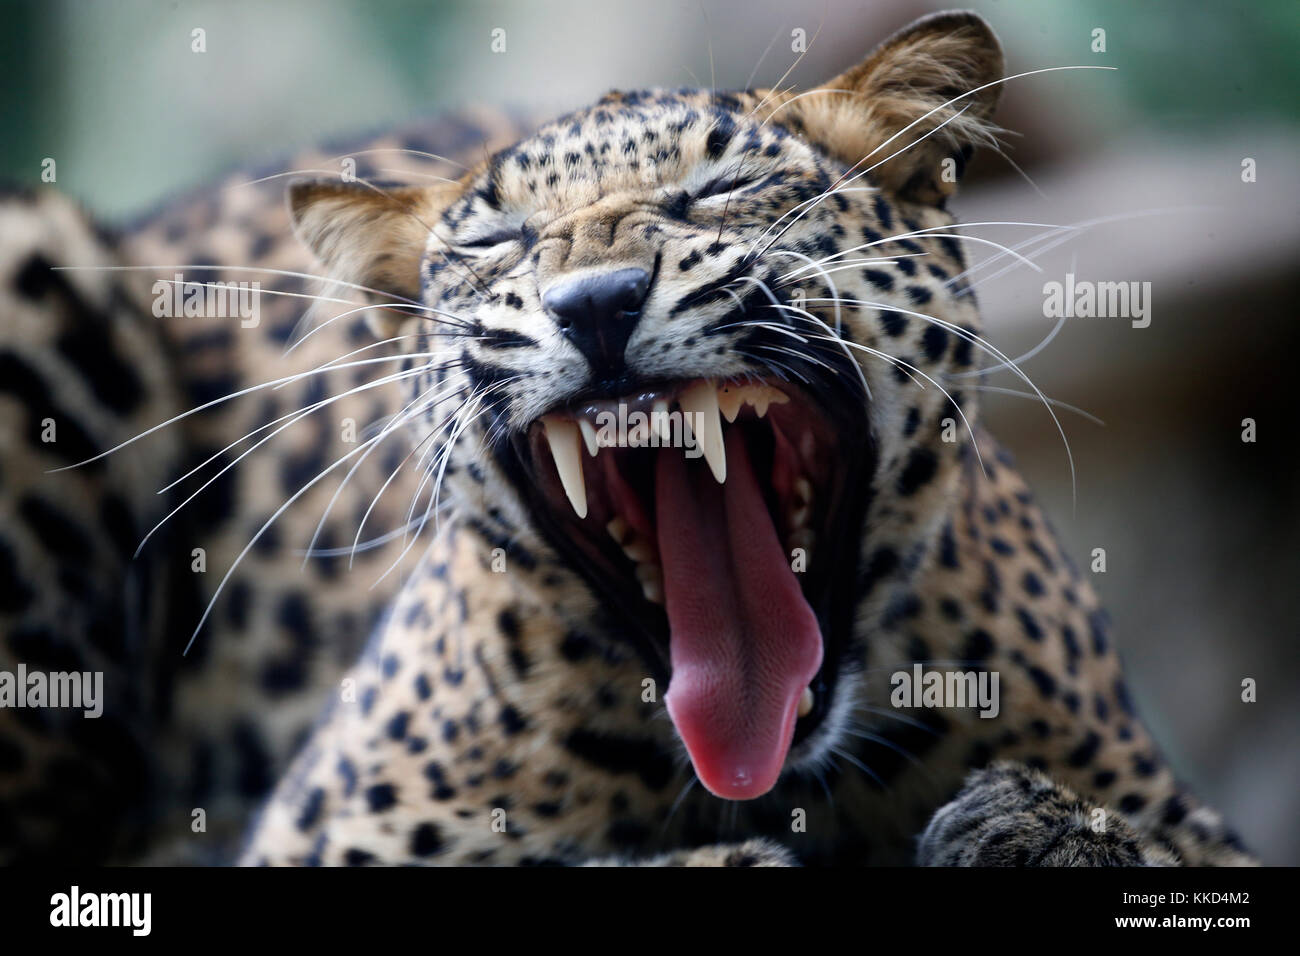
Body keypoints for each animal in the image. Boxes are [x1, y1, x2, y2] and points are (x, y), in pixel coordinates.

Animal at [0, 11, 1254, 866]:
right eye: (497, 243)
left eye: (722, 189)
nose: (596, 302)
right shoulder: (338, 828)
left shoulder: (1169, 801)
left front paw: (1038, 825)